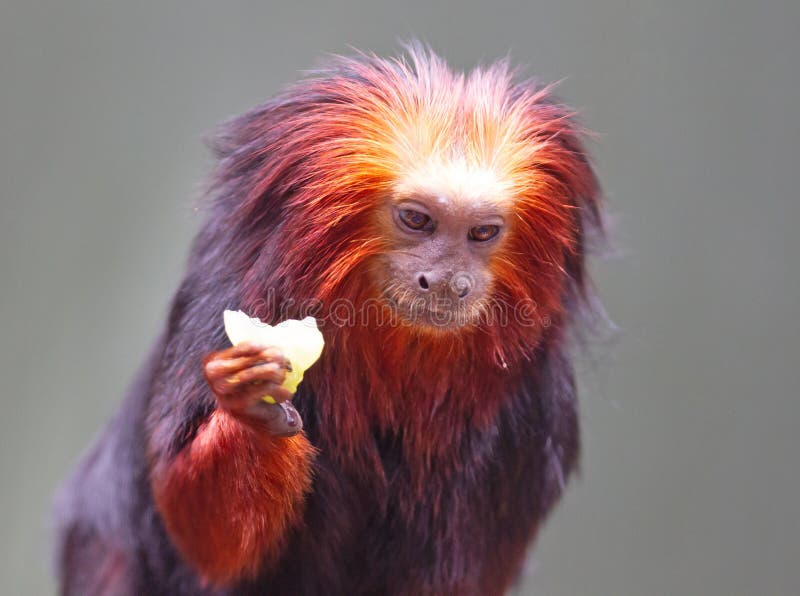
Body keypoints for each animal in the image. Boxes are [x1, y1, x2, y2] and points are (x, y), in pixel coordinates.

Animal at [53, 44, 603, 595]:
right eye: (417, 220)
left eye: (483, 232)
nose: (448, 282)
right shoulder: (225, 301)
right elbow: (202, 536)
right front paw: (251, 410)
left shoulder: (532, 411)